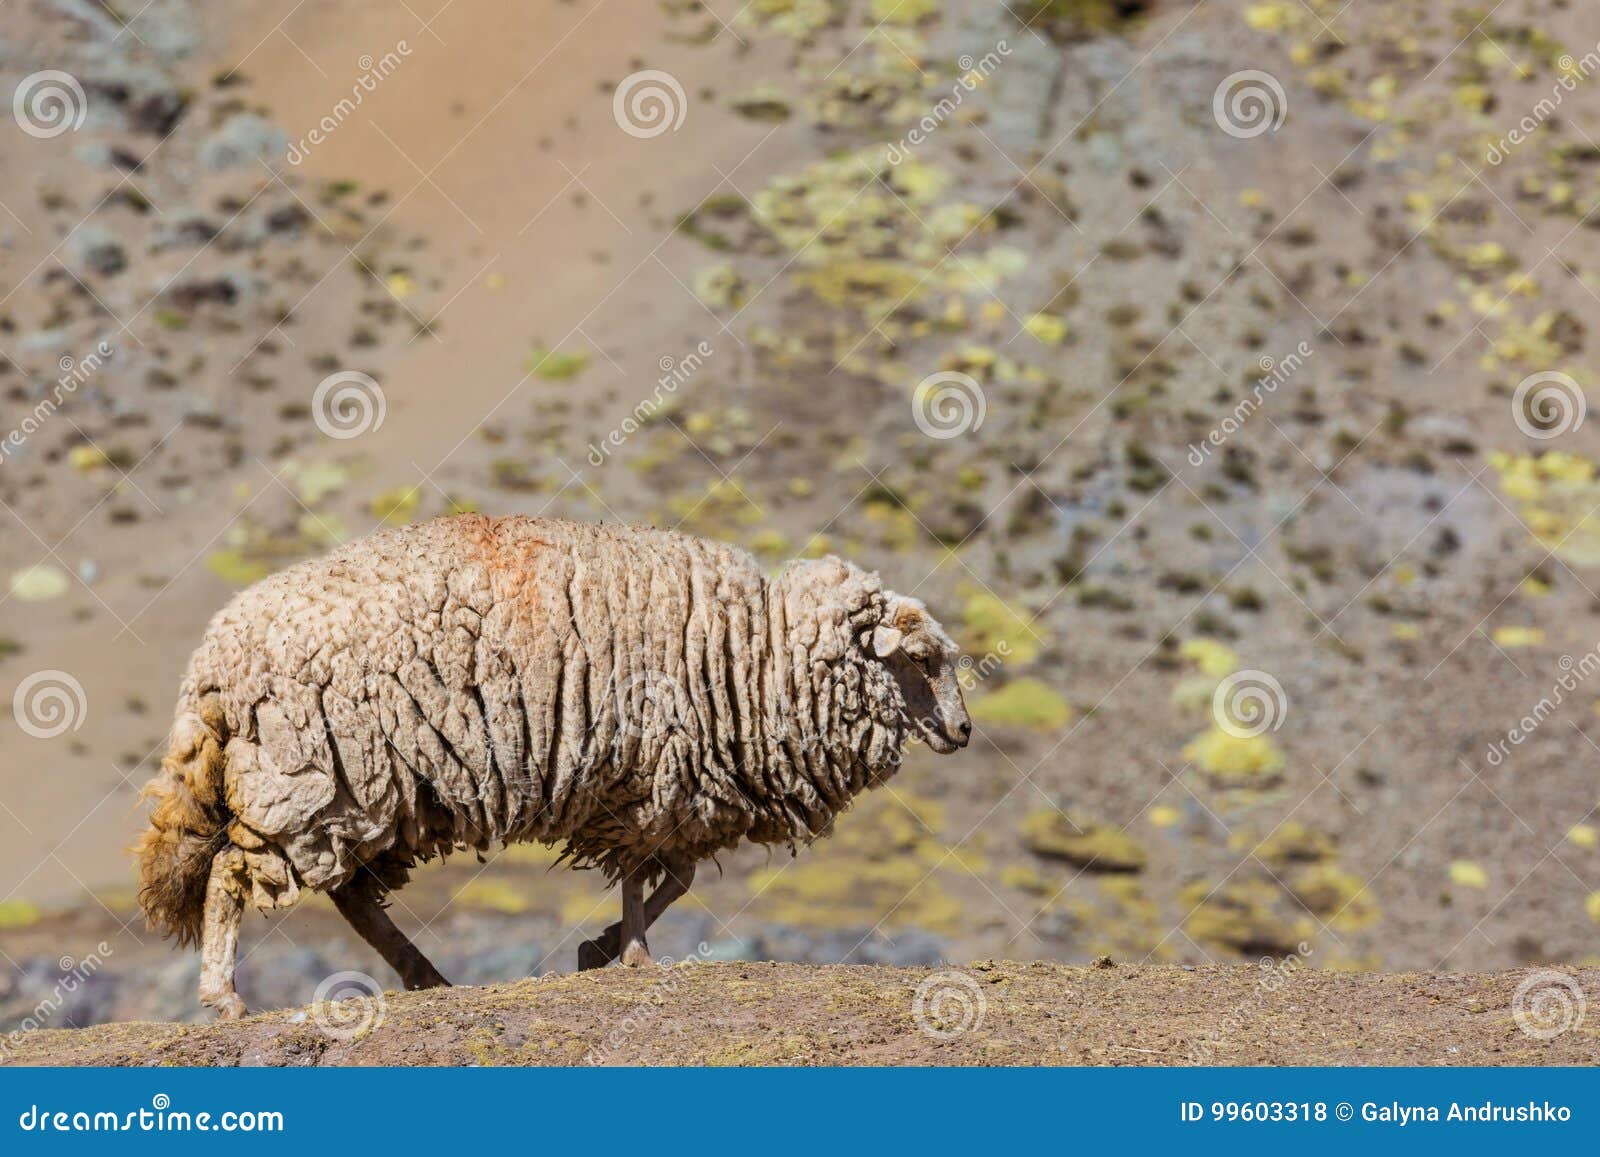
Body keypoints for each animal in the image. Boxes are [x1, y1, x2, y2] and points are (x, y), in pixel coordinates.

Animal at [134, 514, 971, 1018]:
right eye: (922, 658)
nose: (964, 730)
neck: (760, 655)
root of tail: (218, 657)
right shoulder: (652, 778)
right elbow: (650, 876)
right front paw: (627, 953)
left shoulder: (660, 790)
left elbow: (674, 876)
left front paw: (604, 947)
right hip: (308, 775)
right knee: (231, 875)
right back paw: (223, 996)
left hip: (367, 791)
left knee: (351, 896)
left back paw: (424, 974)